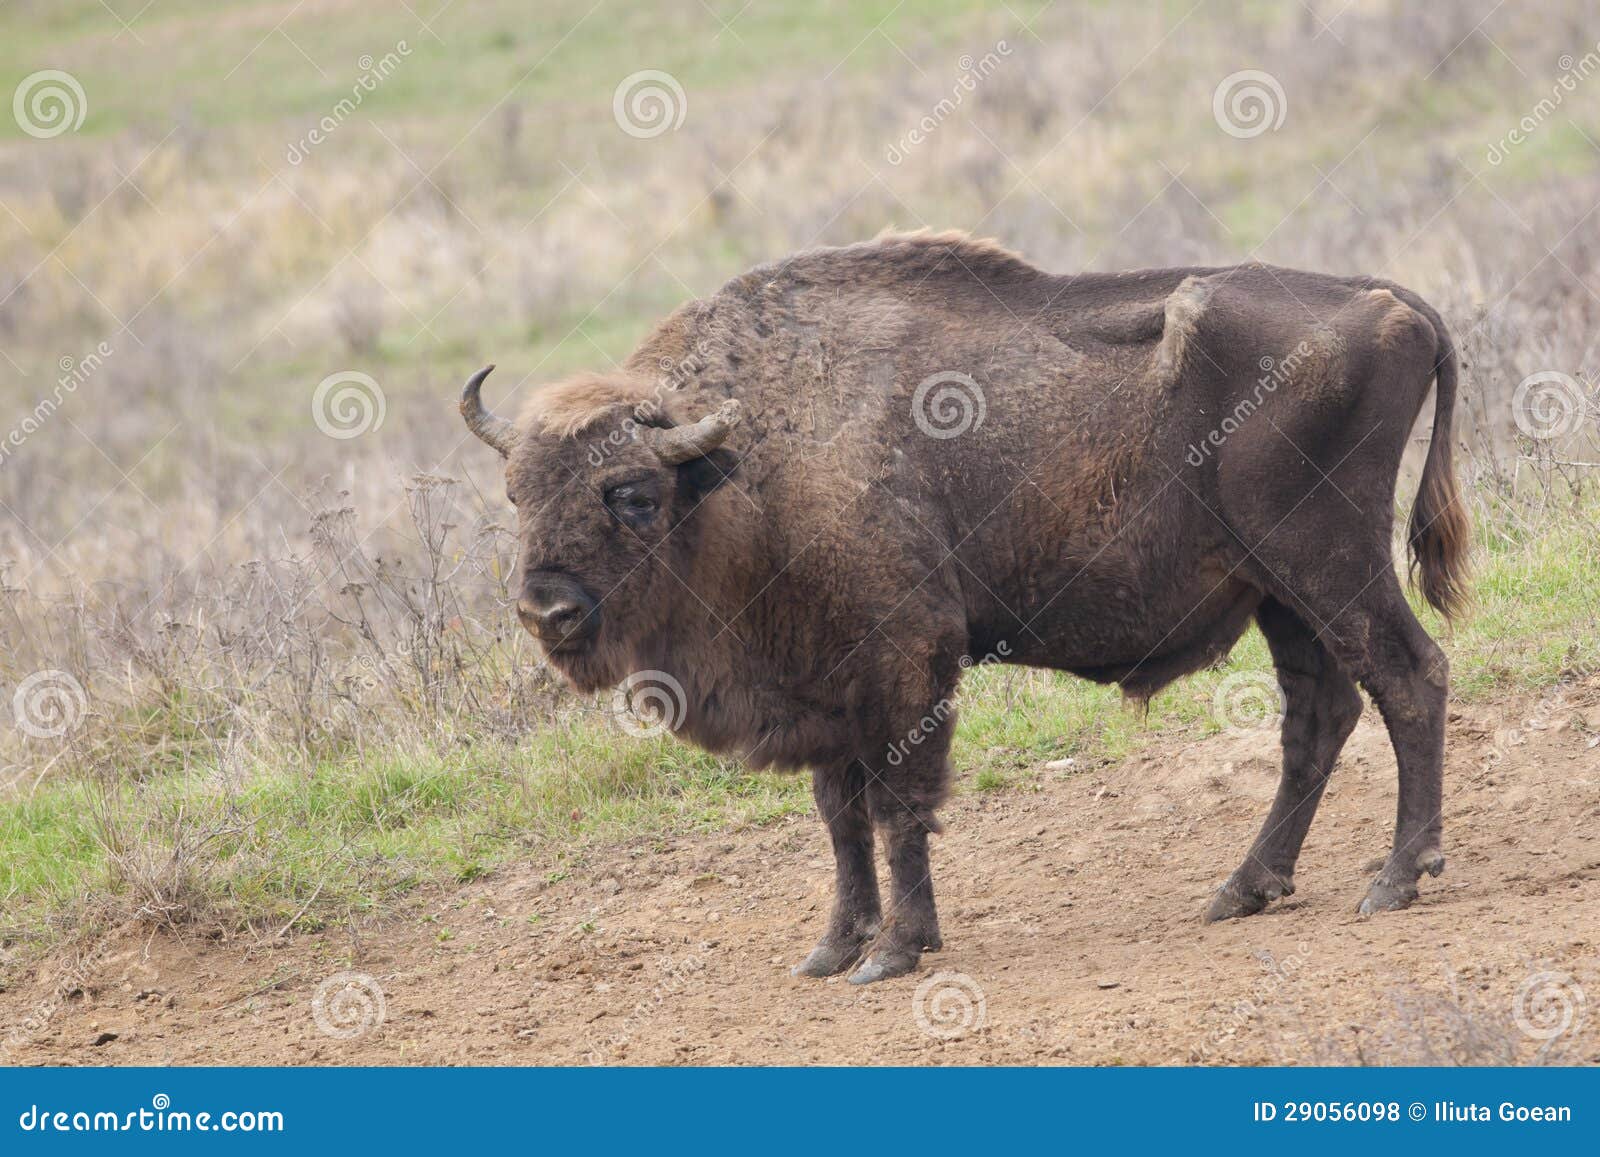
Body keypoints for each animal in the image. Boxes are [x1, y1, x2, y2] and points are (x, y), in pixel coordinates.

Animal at [458, 230, 1469, 984]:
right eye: (516, 492)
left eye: (630, 494)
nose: (546, 611)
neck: (740, 465)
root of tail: (1388, 302)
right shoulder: (828, 689)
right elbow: (840, 817)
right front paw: (832, 949)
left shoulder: (907, 662)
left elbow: (899, 808)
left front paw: (896, 950)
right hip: (1279, 594)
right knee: (1320, 717)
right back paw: (1245, 887)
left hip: (1327, 565)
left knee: (1409, 678)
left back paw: (1395, 879)